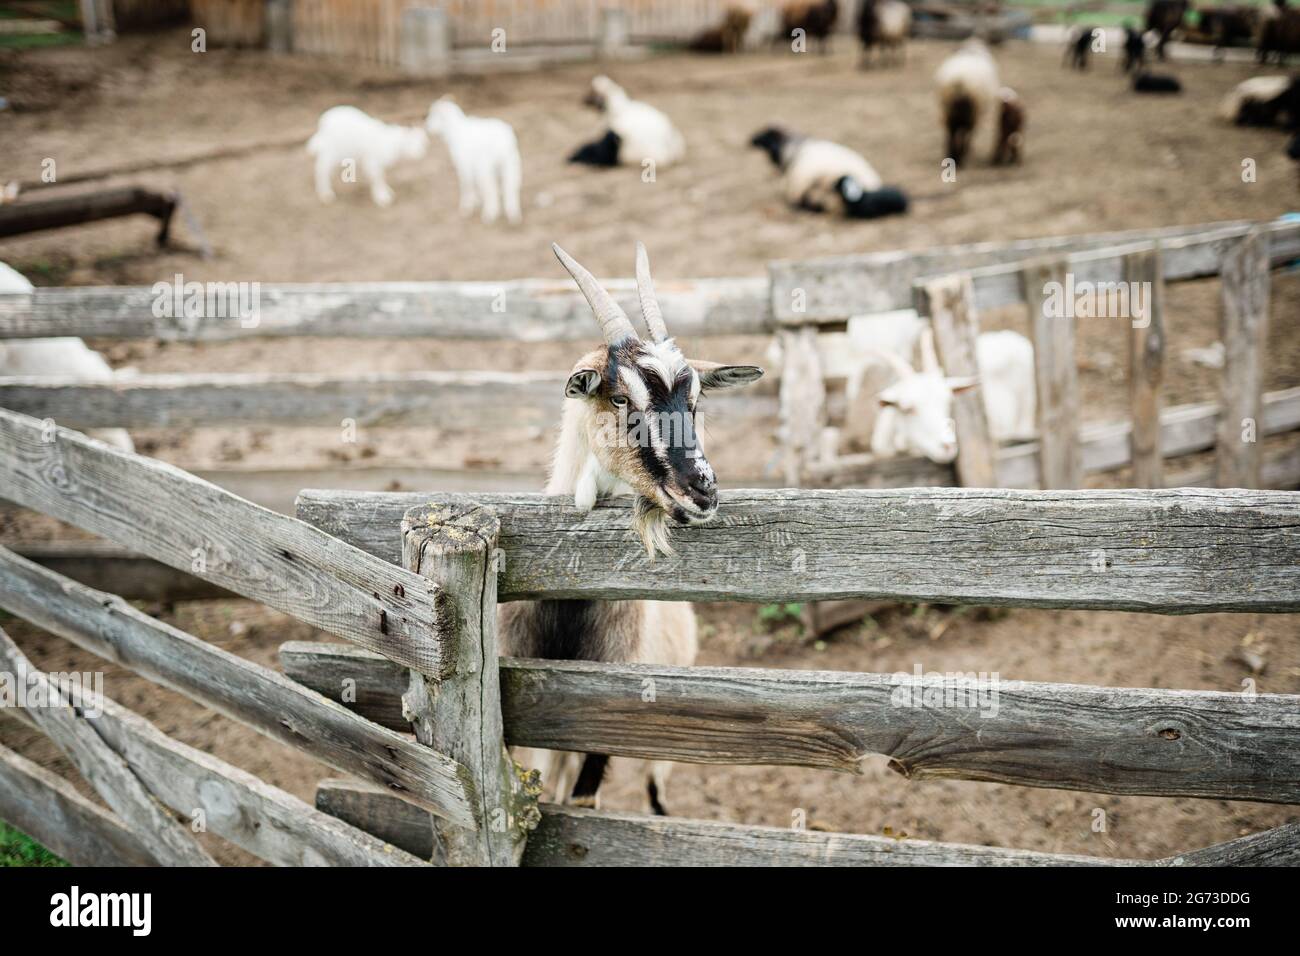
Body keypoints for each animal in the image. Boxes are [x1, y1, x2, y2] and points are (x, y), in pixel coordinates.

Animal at [426, 96, 522, 225]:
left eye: (433, 115)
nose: (426, 127)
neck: (455, 130)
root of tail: (504, 142)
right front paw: (477, 201)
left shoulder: (464, 165)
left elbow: (467, 185)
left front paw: (467, 207)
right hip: (510, 164)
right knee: (510, 188)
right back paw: (513, 215)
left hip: (486, 167)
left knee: (491, 189)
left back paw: (490, 215)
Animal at [503, 242, 763, 813]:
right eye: (621, 398)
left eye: (695, 400)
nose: (702, 490)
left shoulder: (610, 719)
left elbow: (583, 803)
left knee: (654, 786)